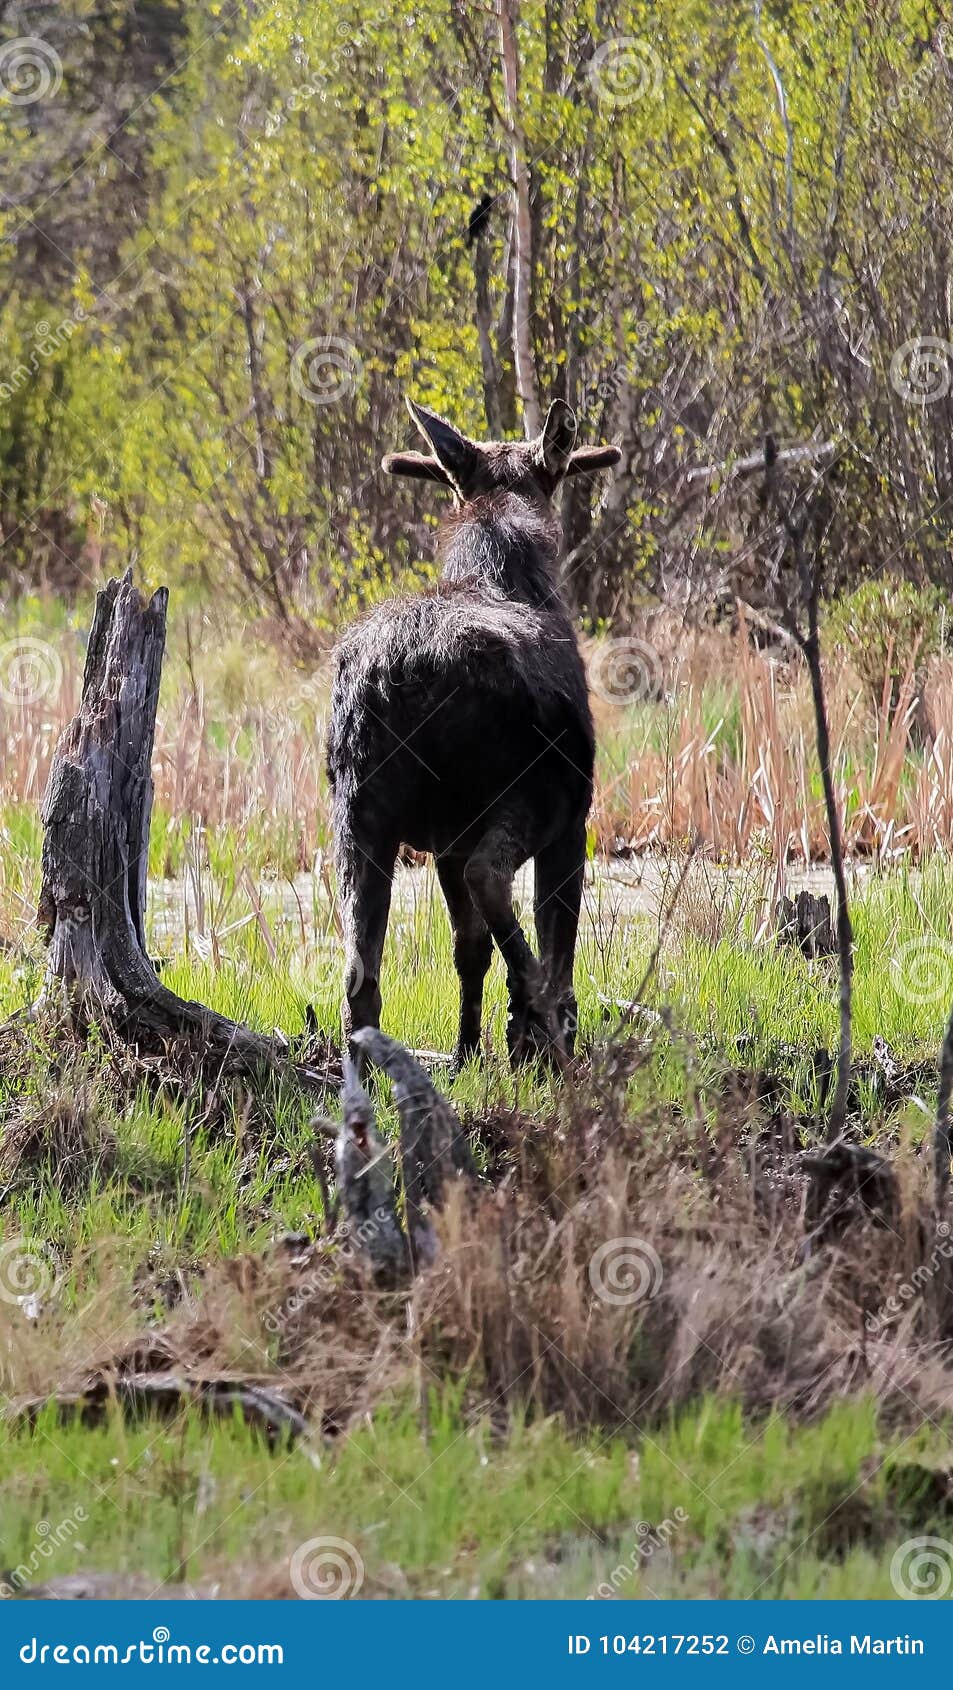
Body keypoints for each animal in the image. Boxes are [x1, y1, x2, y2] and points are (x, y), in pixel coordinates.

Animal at [326, 396, 621, 1068]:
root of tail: (397, 677)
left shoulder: (444, 842)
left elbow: (468, 950)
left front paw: (466, 1051)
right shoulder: (573, 821)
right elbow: (560, 942)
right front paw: (534, 1033)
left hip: (360, 816)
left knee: (358, 971)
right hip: (528, 797)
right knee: (495, 884)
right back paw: (537, 1011)